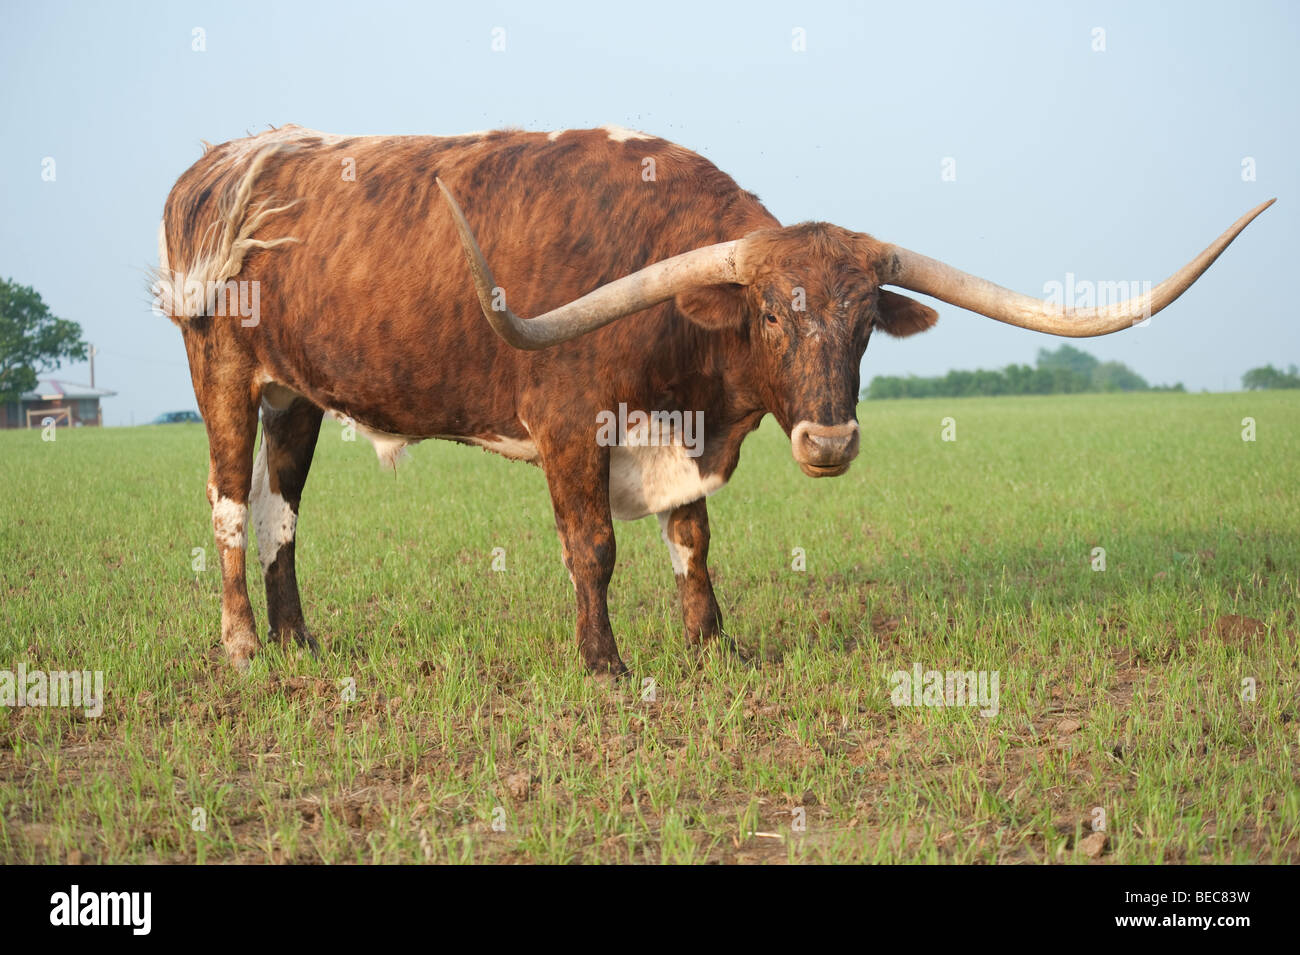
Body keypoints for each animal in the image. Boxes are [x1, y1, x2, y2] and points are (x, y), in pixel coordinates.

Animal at [154, 124, 1271, 677]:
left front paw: (712, 644)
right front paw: (603, 662)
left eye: (865, 321)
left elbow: (691, 539)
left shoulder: (681, 439)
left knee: (283, 510)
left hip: (296, 395)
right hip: (222, 375)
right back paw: (244, 647)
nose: (828, 441)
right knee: (227, 507)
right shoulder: (569, 428)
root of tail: (235, 160)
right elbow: (594, 546)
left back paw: (299, 639)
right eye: (770, 315)